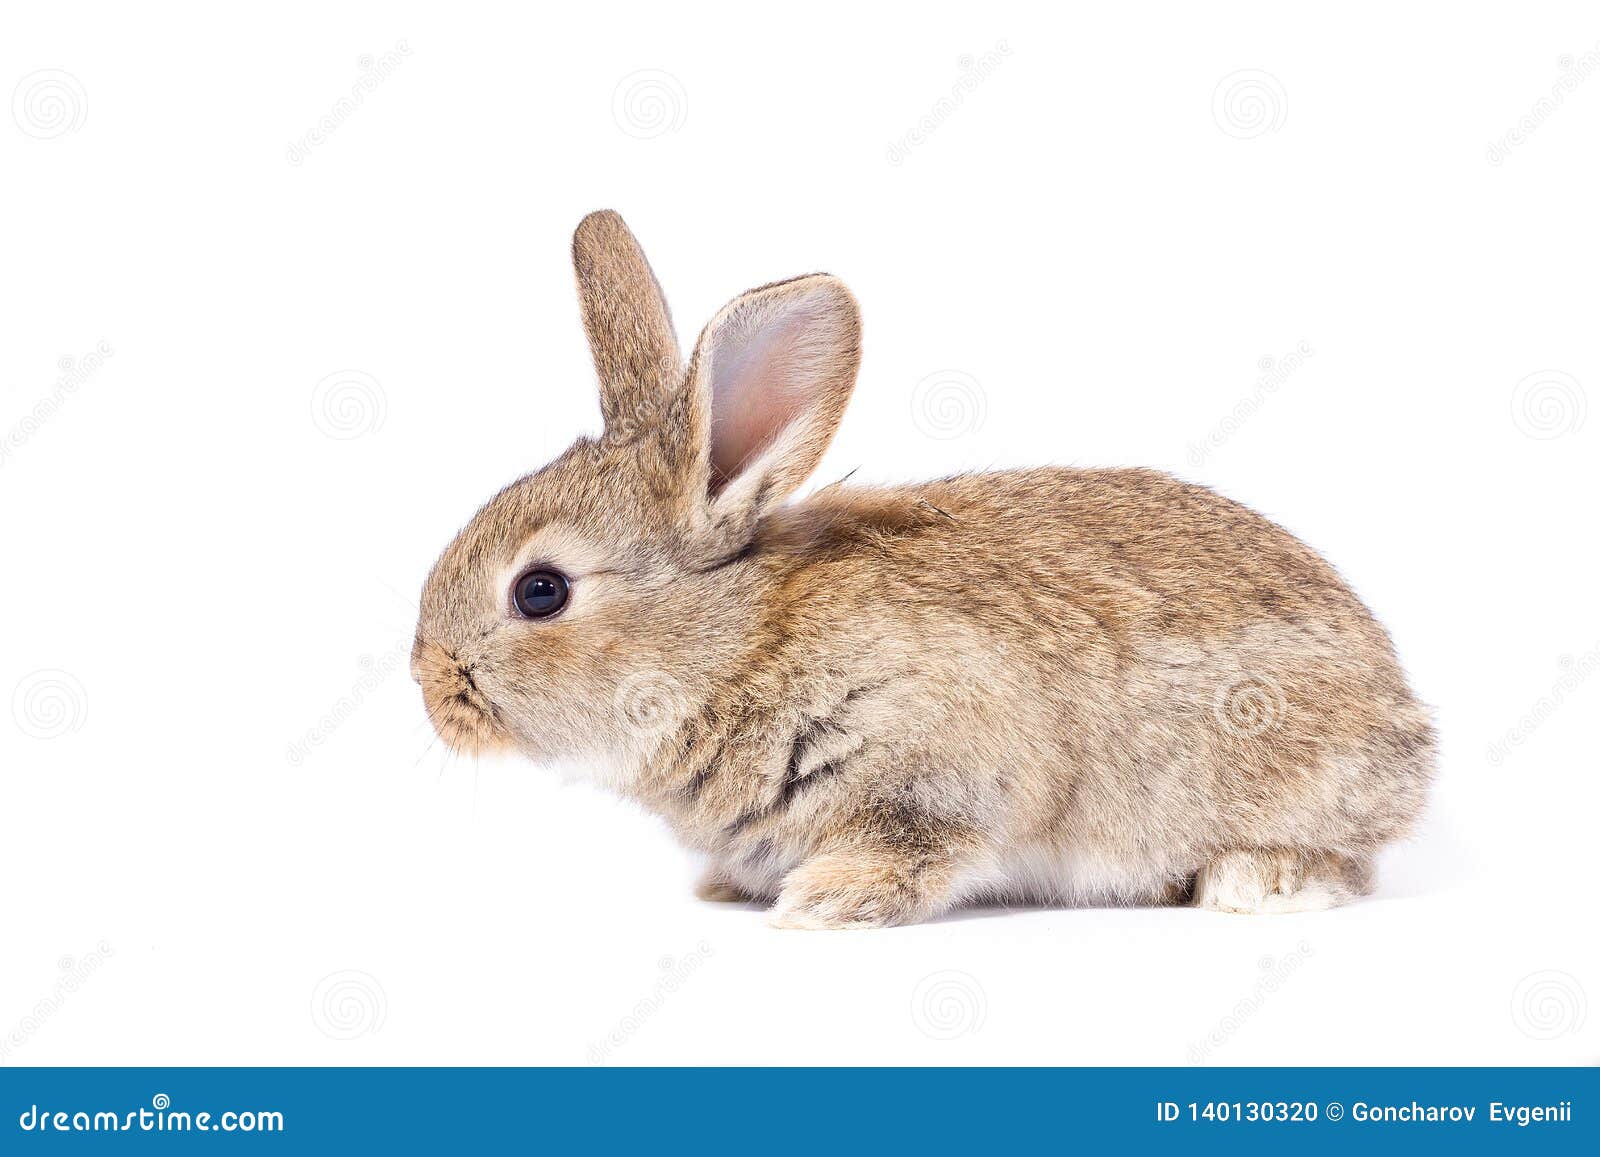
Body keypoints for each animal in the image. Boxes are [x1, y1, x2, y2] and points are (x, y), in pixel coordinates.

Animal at [411, 209, 1436, 929]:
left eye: (541, 590)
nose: (430, 685)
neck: (737, 648)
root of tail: (1409, 726)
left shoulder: (933, 767)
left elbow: (918, 849)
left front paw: (822, 904)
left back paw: (1257, 882)